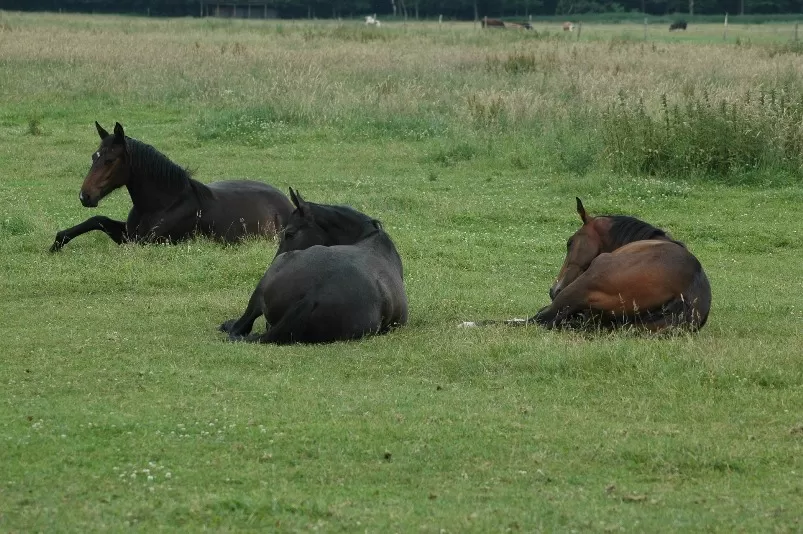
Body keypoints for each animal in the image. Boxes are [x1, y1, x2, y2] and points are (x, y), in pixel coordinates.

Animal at [48, 122, 292, 252]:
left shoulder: (145, 243)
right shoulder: (128, 233)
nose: (85, 196)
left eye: (109, 160)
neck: (164, 203)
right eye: (94, 156)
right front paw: (57, 244)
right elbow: (98, 220)